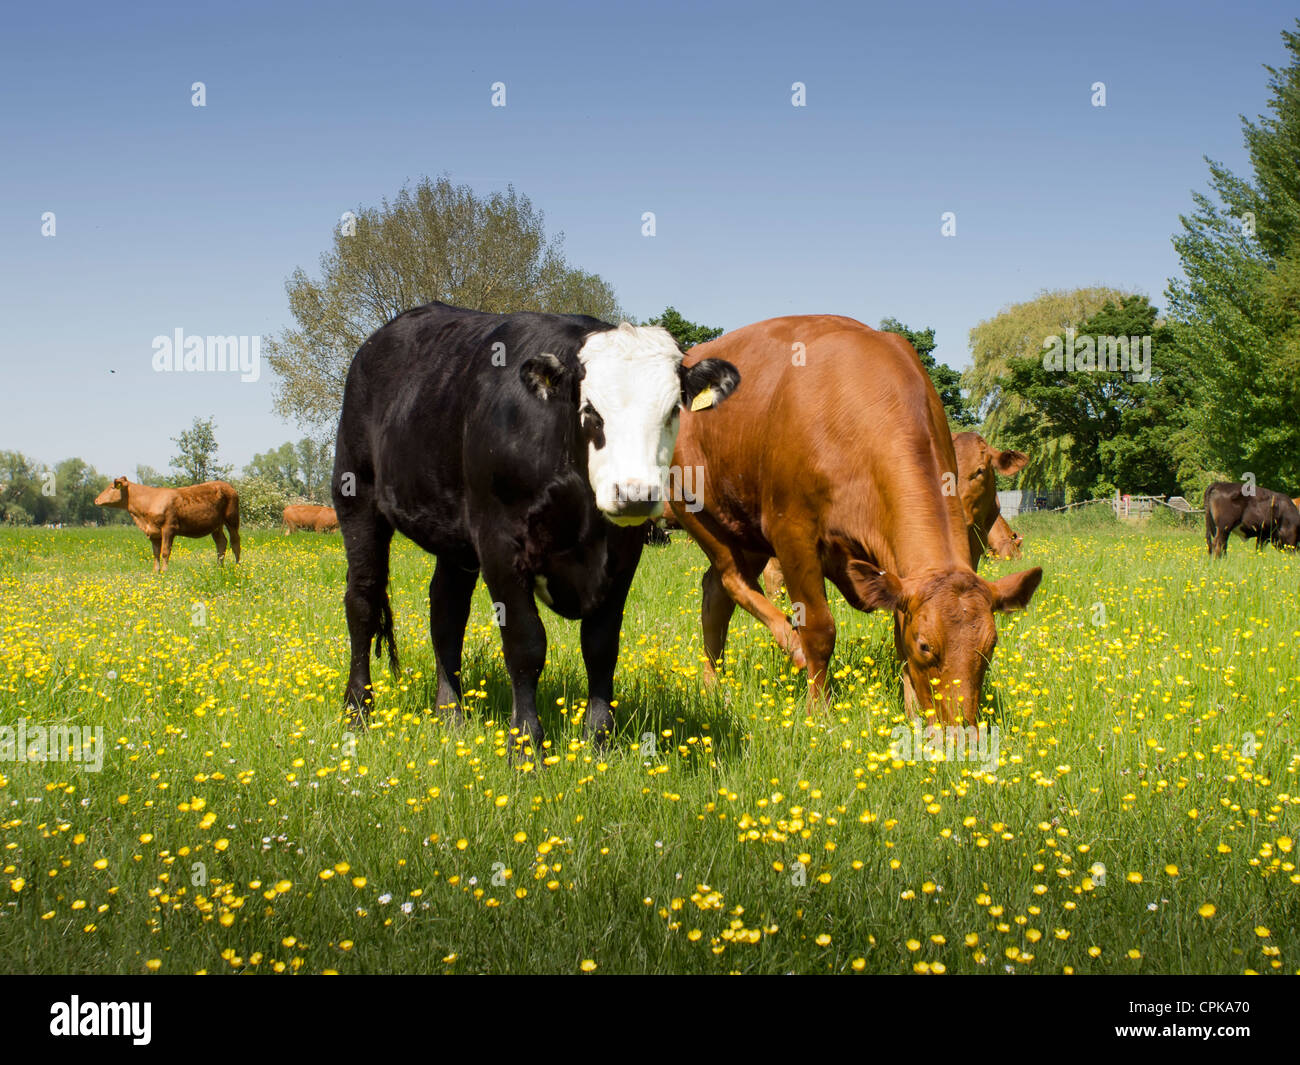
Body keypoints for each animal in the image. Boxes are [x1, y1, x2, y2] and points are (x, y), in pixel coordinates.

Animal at [94, 477, 240, 572]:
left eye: (112, 487)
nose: (96, 500)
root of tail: (228, 486)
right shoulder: (154, 533)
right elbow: (155, 553)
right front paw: (156, 571)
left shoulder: (169, 528)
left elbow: (165, 552)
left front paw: (164, 571)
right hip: (216, 525)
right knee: (221, 543)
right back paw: (219, 567)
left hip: (232, 520)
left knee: (235, 543)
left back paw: (237, 566)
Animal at [332, 302, 739, 753]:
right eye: (591, 411)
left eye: (672, 411)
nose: (633, 493)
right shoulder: (498, 542)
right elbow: (526, 644)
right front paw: (525, 743)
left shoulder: (624, 550)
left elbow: (601, 645)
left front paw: (599, 740)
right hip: (355, 494)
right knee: (363, 601)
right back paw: (357, 711)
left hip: (454, 541)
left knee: (446, 611)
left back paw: (451, 714)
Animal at [667, 315, 1041, 727]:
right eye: (926, 646)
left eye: (990, 645)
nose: (959, 729)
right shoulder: (792, 532)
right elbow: (819, 628)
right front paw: (819, 712)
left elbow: (897, 633)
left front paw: (912, 711)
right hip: (695, 510)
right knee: (731, 581)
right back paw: (781, 648)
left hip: (746, 526)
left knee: (716, 594)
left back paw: (713, 686)